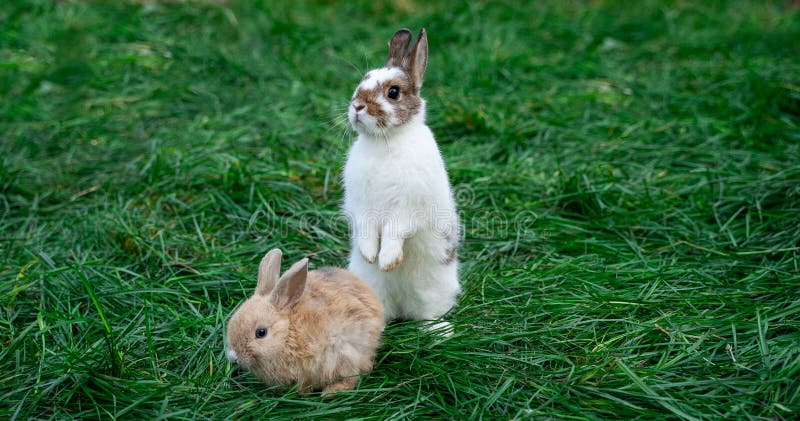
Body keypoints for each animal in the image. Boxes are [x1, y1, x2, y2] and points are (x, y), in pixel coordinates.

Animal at [343, 28, 460, 334]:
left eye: (393, 92)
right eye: (362, 81)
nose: (357, 106)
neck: (385, 142)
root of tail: (401, 309)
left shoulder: (408, 207)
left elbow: (395, 232)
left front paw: (387, 260)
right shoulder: (361, 205)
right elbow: (368, 229)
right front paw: (370, 255)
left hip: (432, 288)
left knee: (428, 312)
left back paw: (441, 332)